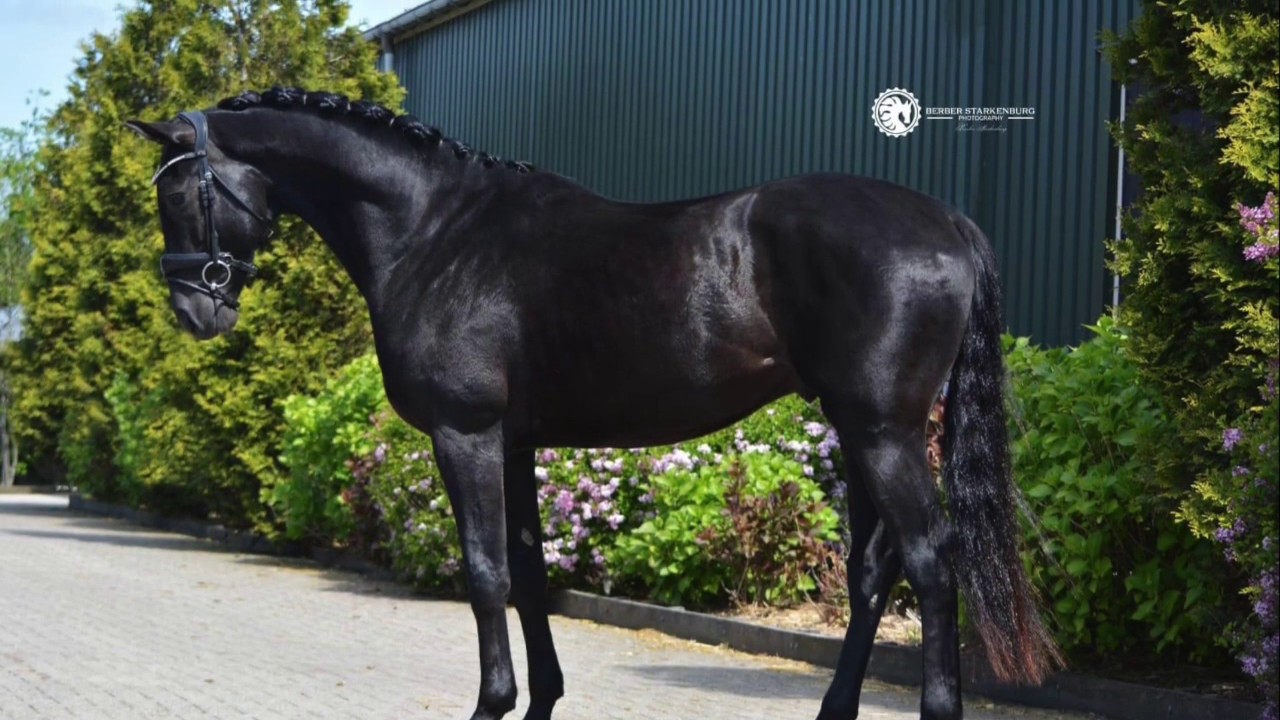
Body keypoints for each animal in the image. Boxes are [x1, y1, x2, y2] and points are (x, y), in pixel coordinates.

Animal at [126, 87, 1060, 720]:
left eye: (176, 193)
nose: (195, 311)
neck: (437, 231)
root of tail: (947, 223)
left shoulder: (465, 433)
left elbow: (486, 571)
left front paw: (492, 702)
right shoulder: (514, 442)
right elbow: (531, 571)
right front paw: (540, 699)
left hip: (883, 432)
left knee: (931, 564)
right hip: (862, 432)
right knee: (874, 572)